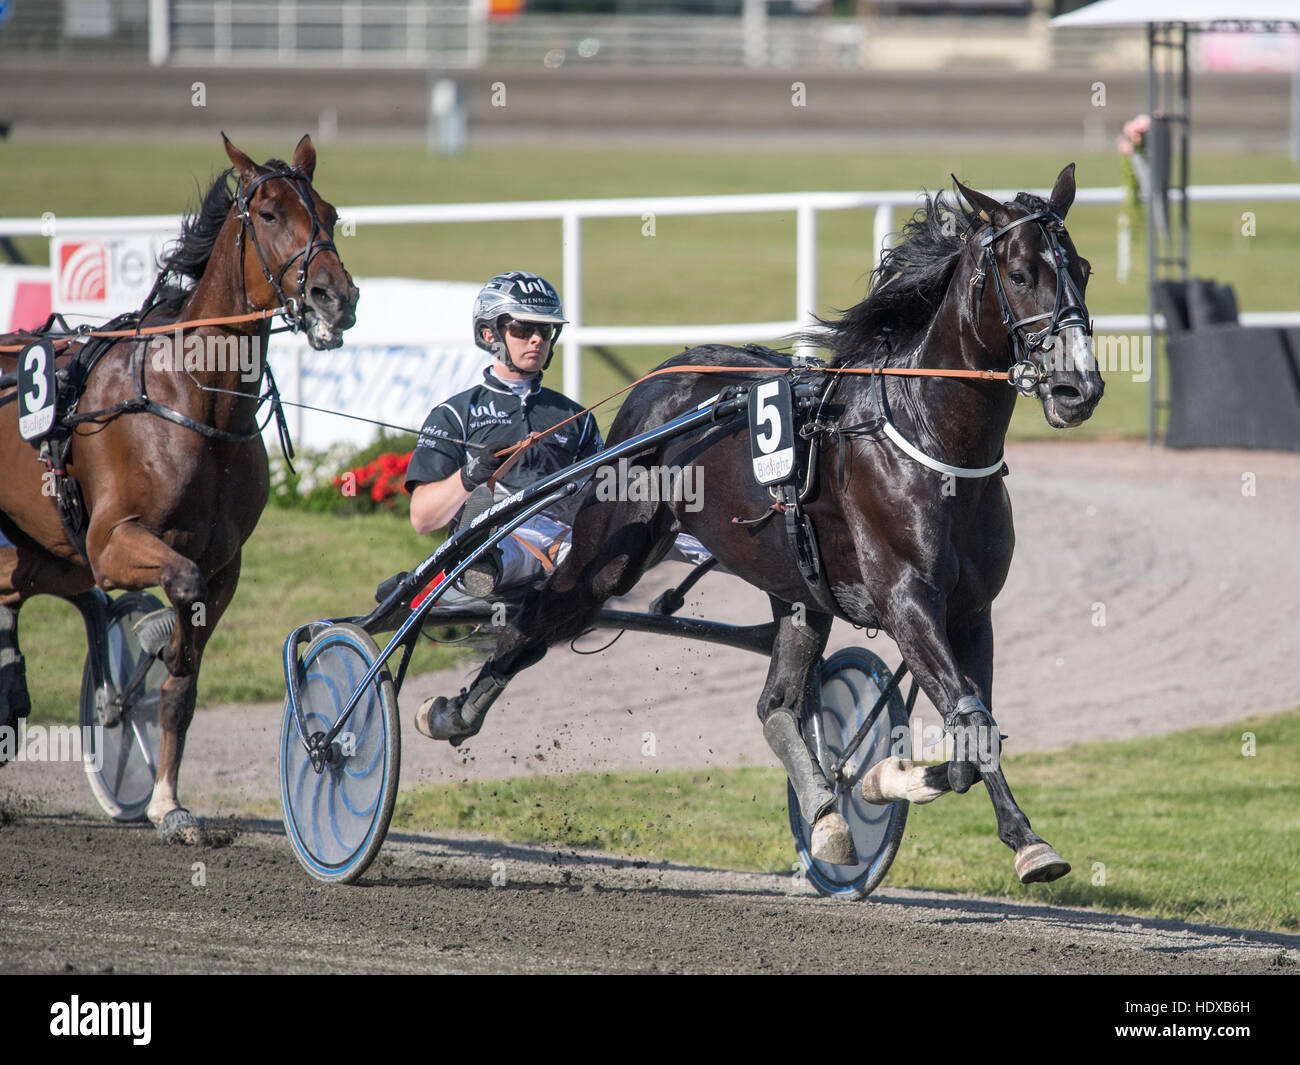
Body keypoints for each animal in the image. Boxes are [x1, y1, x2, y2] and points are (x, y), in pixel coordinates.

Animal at [0, 135, 358, 842]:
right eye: (268, 215)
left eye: (329, 213)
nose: (337, 296)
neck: (191, 402)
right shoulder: (110, 545)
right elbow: (177, 585)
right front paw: (156, 632)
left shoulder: (225, 565)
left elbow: (181, 690)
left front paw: (168, 802)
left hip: (40, 555)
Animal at [421, 166, 1102, 884]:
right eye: (1021, 273)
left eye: (1083, 269)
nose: (1078, 389)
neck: (929, 439)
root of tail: (663, 374)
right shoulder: (907, 603)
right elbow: (971, 718)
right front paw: (1013, 834)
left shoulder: (971, 609)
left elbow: (975, 731)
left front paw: (880, 780)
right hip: (614, 549)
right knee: (542, 615)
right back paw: (453, 709)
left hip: (797, 589)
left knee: (774, 704)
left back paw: (827, 816)